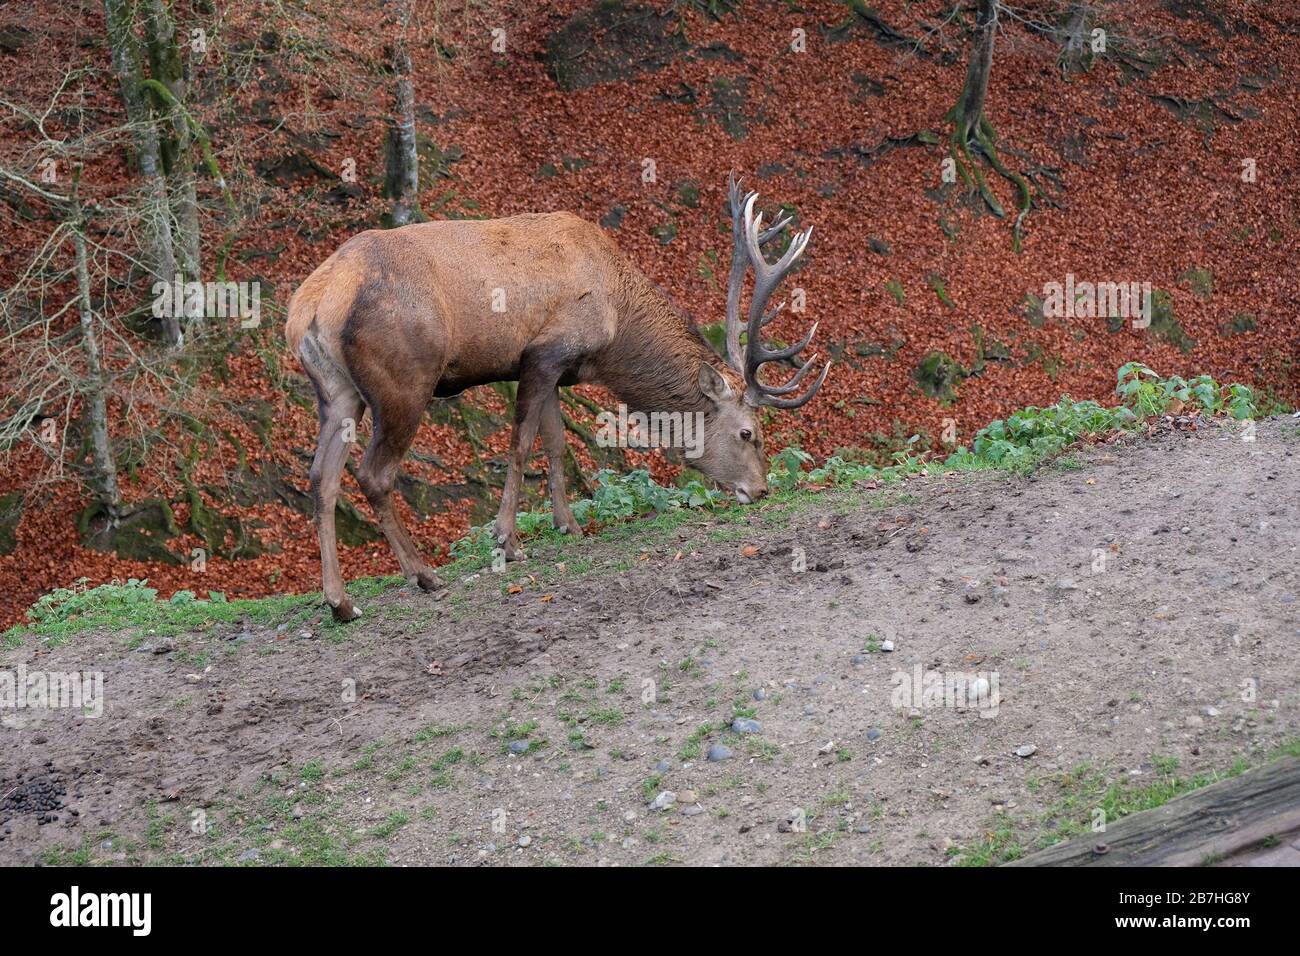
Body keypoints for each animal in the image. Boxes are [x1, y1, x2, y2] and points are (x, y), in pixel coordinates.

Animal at [286, 174, 830, 621]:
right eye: (748, 433)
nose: (761, 490)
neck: (616, 322)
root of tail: (310, 305)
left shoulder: (553, 368)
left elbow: (556, 442)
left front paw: (567, 525)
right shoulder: (545, 351)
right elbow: (521, 443)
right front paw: (507, 541)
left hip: (336, 391)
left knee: (321, 476)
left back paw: (340, 602)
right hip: (404, 380)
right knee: (372, 474)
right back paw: (423, 575)